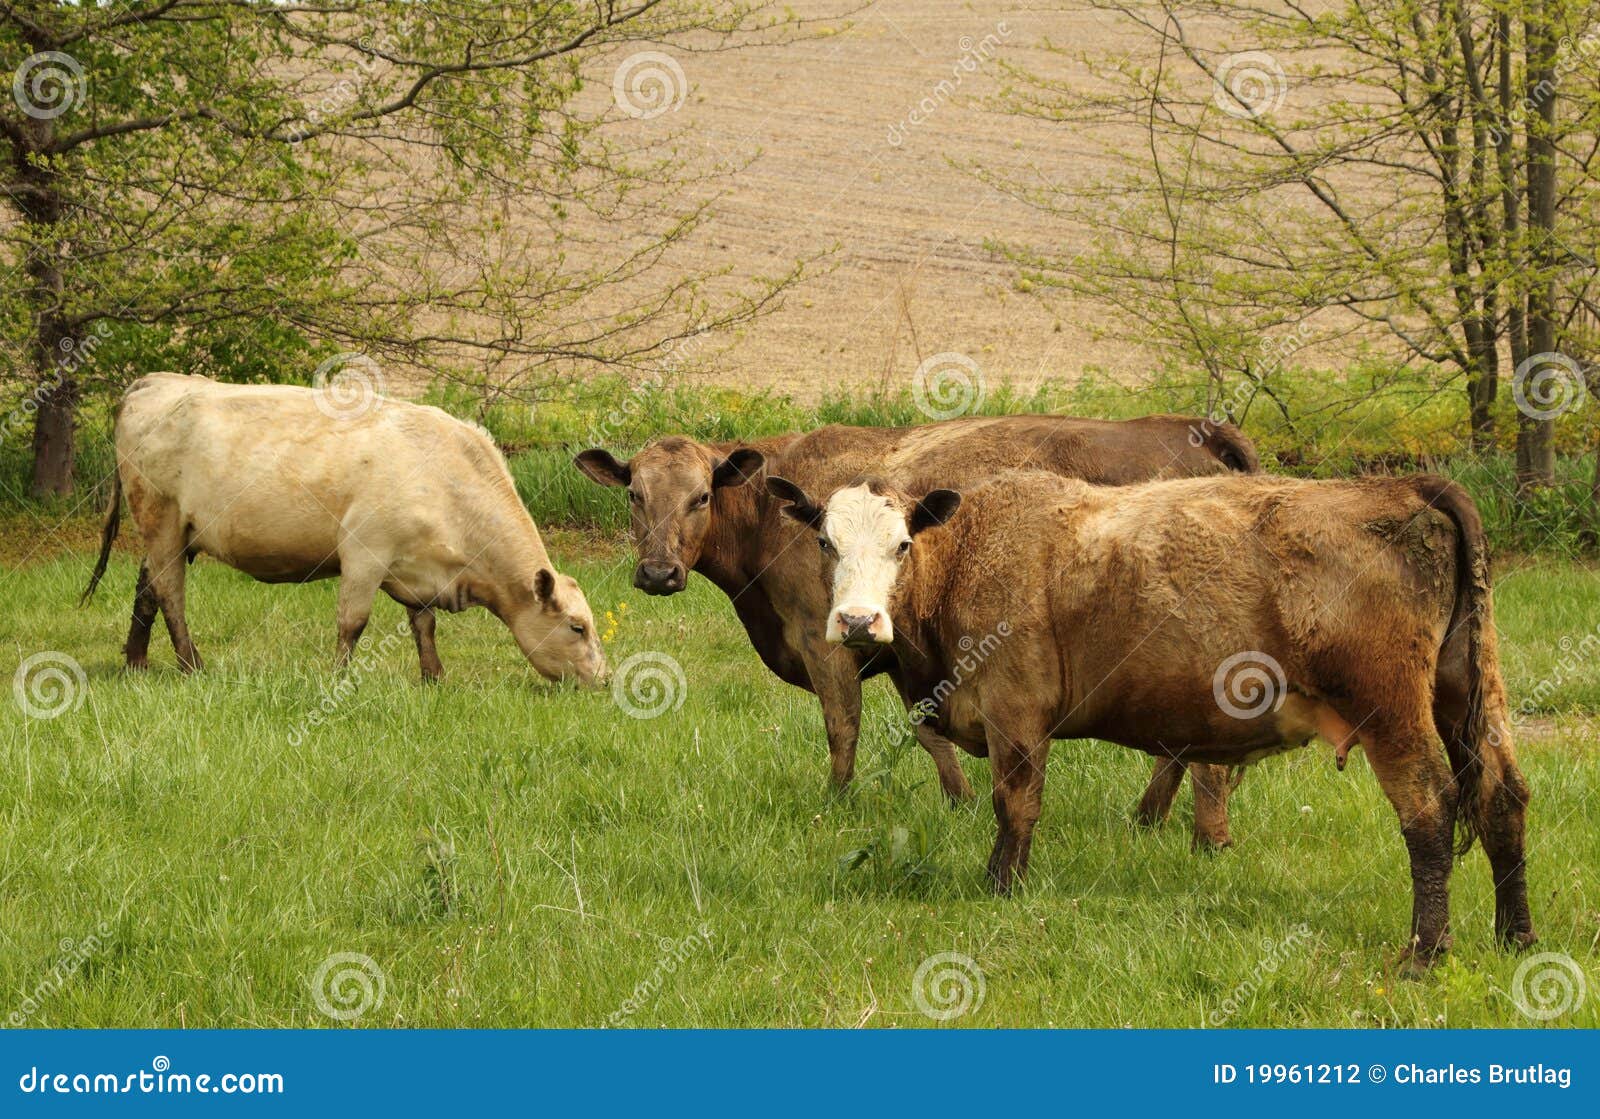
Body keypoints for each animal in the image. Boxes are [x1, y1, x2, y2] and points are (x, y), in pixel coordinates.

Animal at [80, 373, 606, 686]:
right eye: (576, 626)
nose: (603, 680)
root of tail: (159, 380)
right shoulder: (364, 553)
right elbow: (353, 622)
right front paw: (338, 678)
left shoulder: (416, 566)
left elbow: (424, 624)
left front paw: (434, 677)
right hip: (161, 519)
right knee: (169, 592)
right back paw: (192, 666)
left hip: (172, 531)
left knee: (146, 589)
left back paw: (136, 663)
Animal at [575, 413, 1259, 847]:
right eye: (634, 495)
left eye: (700, 498)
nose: (658, 573)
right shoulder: (909, 654)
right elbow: (928, 731)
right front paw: (958, 800)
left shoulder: (827, 639)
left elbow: (843, 727)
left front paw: (837, 802)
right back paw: (1150, 818)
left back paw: (1203, 834)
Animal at [765, 469, 1535, 968]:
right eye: (826, 543)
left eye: (902, 544)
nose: (857, 620)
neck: (968, 554)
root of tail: (1404, 486)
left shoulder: (1016, 710)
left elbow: (1015, 804)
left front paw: (1000, 888)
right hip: (1469, 694)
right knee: (1502, 798)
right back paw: (1516, 937)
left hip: (1391, 710)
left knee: (1429, 808)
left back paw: (1426, 951)